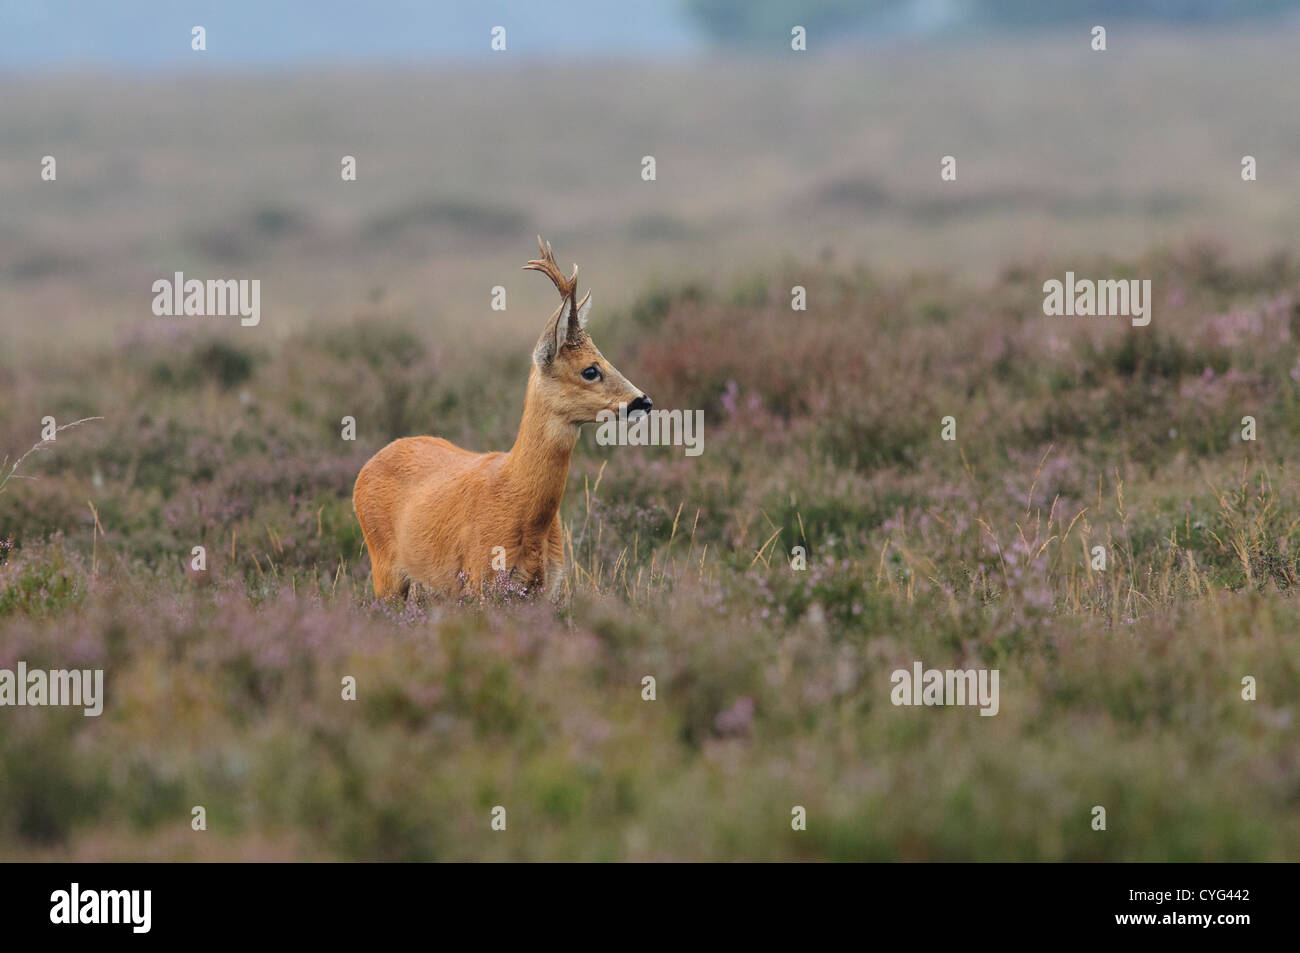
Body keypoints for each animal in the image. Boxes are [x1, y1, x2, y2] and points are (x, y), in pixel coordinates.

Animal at [352, 237, 653, 602]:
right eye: (590, 370)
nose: (644, 401)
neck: (522, 505)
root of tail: (367, 466)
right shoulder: (482, 578)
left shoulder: (545, 586)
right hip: (385, 570)